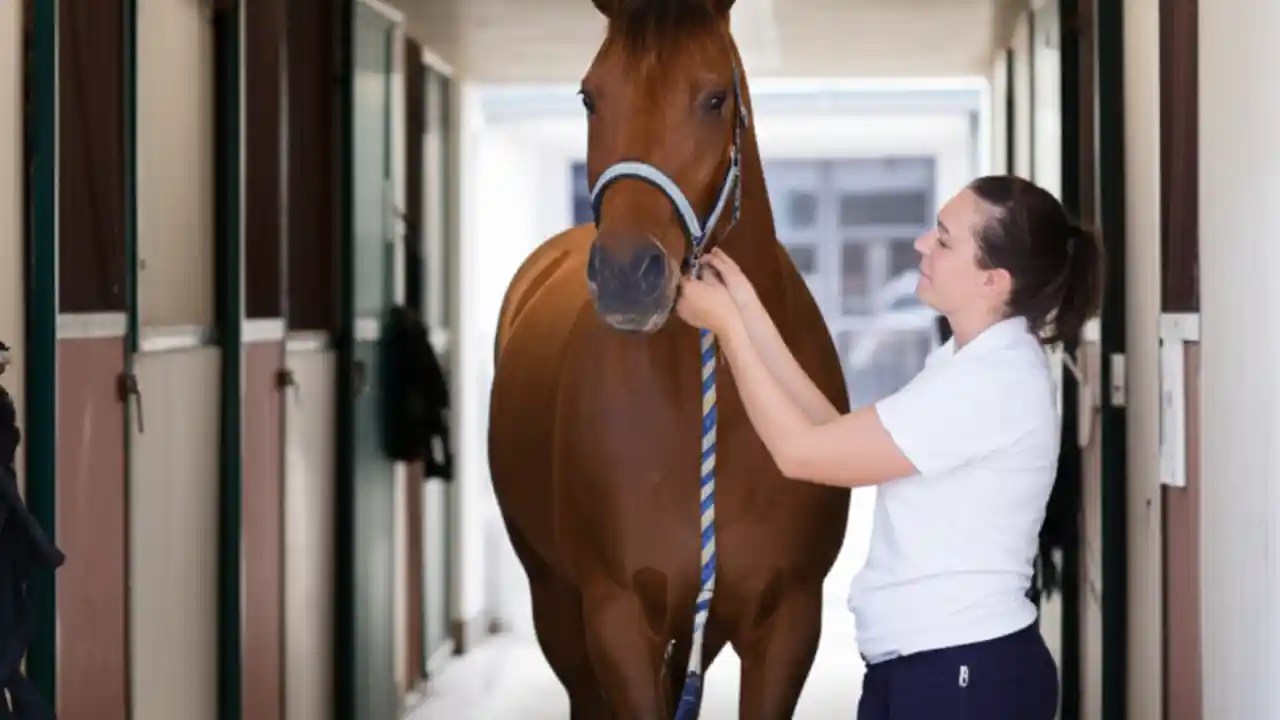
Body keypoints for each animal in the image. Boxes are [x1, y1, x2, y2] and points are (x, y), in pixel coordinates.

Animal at [487, 0, 851, 716]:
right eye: (590, 95)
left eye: (714, 99)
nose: (628, 275)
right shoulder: (618, 621)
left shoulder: (789, 622)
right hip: (558, 607)